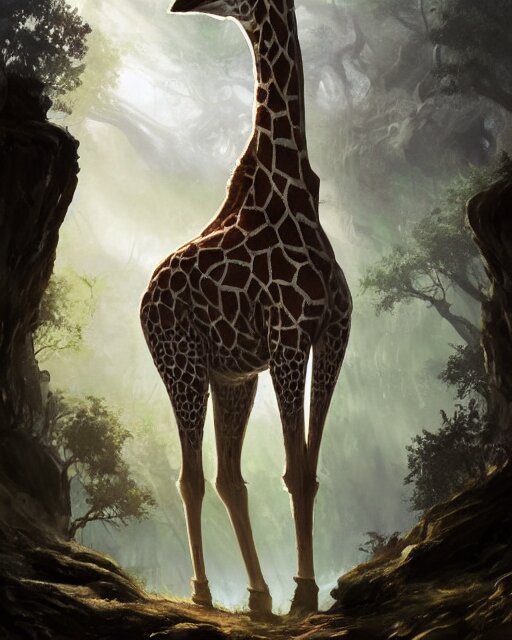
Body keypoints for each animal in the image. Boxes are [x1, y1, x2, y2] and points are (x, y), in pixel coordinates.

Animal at [140, 0, 352, 617]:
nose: (179, 4)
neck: (294, 191)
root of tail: (143, 302)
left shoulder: (332, 334)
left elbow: (308, 470)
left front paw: (301, 593)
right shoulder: (288, 338)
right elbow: (295, 468)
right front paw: (306, 593)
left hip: (230, 378)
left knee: (229, 477)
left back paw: (258, 596)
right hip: (182, 367)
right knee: (191, 477)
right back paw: (204, 593)